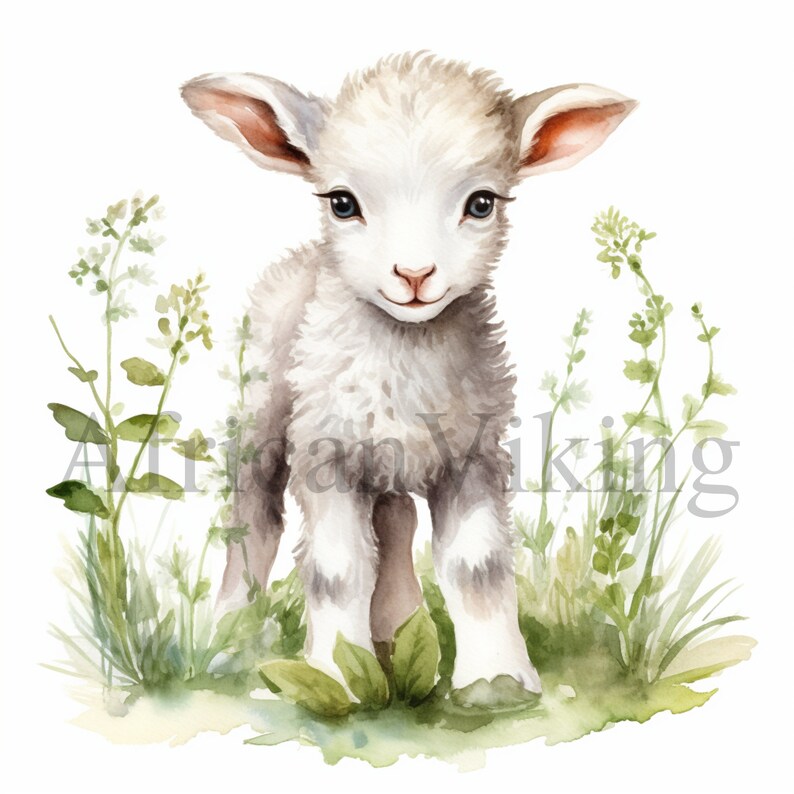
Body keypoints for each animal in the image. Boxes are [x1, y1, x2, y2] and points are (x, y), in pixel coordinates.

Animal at [181, 52, 636, 695]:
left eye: (482, 203)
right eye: (343, 203)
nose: (415, 274)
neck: (406, 347)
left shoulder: (472, 454)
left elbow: (476, 567)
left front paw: (495, 683)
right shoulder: (326, 453)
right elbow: (338, 571)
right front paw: (337, 683)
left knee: (394, 523)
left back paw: (395, 638)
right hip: (262, 416)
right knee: (254, 519)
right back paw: (228, 639)